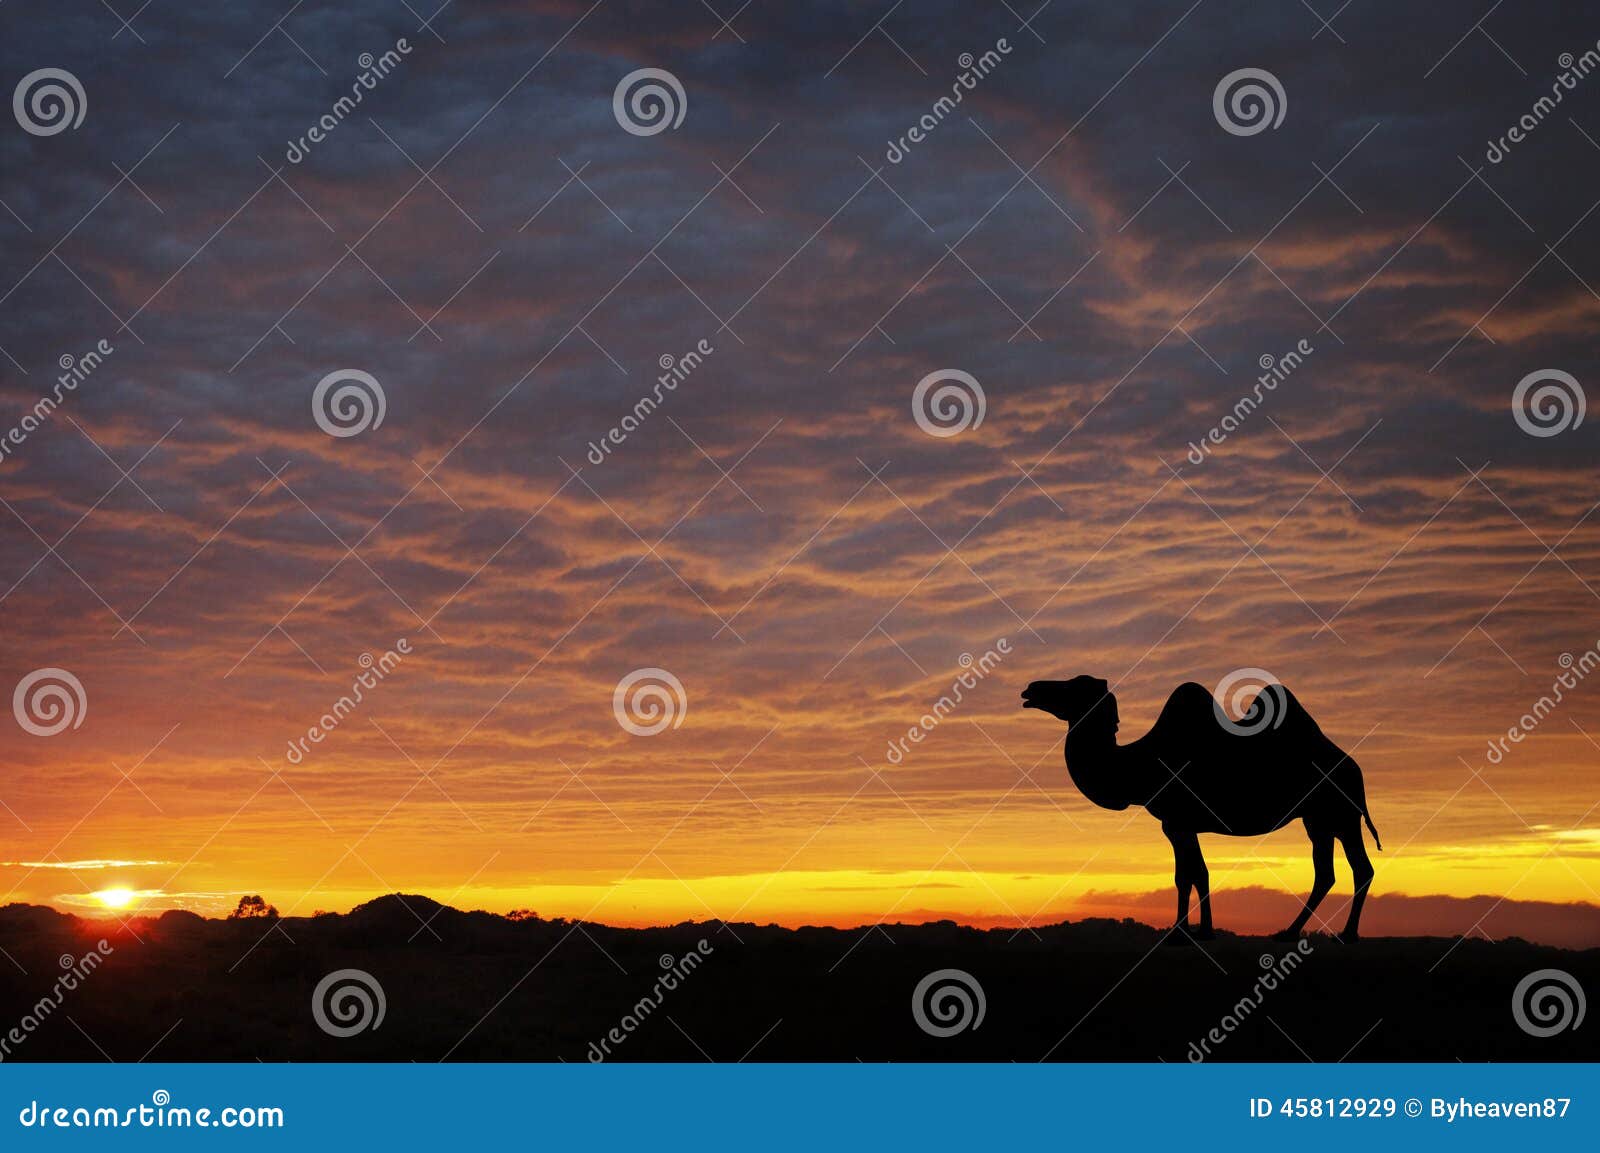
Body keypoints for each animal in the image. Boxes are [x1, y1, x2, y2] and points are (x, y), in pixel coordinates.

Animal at [1021, 676, 1380, 943]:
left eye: (1074, 686)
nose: (1031, 689)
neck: (1141, 764)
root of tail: (1355, 770)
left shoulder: (1176, 822)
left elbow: (1185, 876)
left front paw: (1181, 934)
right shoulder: (1178, 825)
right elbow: (1198, 873)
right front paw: (1201, 931)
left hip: (1340, 814)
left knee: (1359, 869)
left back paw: (1346, 934)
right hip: (1319, 819)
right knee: (1328, 872)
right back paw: (1291, 933)